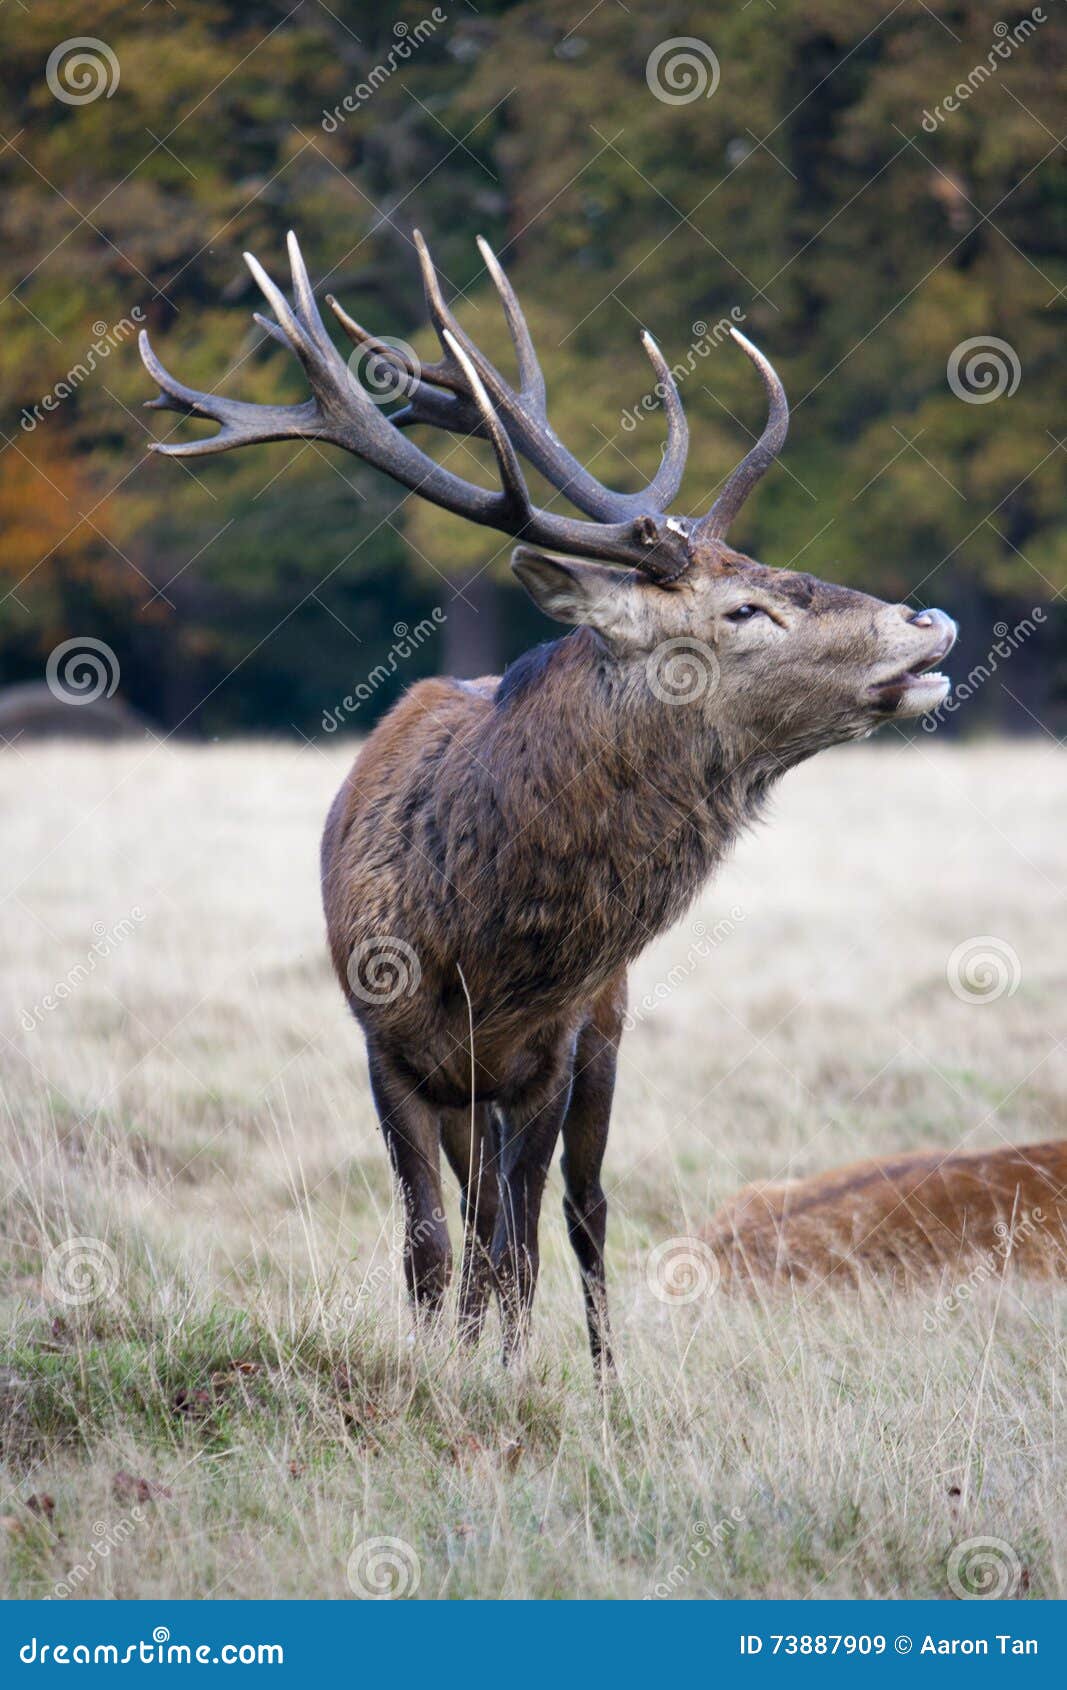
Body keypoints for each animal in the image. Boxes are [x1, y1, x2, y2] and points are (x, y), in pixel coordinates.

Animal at [139, 229, 958, 1373]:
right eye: (742, 607)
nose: (925, 622)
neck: (479, 945)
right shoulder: (384, 1047)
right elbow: (431, 1246)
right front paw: (440, 1363)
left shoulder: (553, 1050)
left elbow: (520, 1249)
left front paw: (511, 1377)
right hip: (467, 1090)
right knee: (485, 1216)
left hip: (604, 1034)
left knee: (582, 1211)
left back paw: (606, 1374)